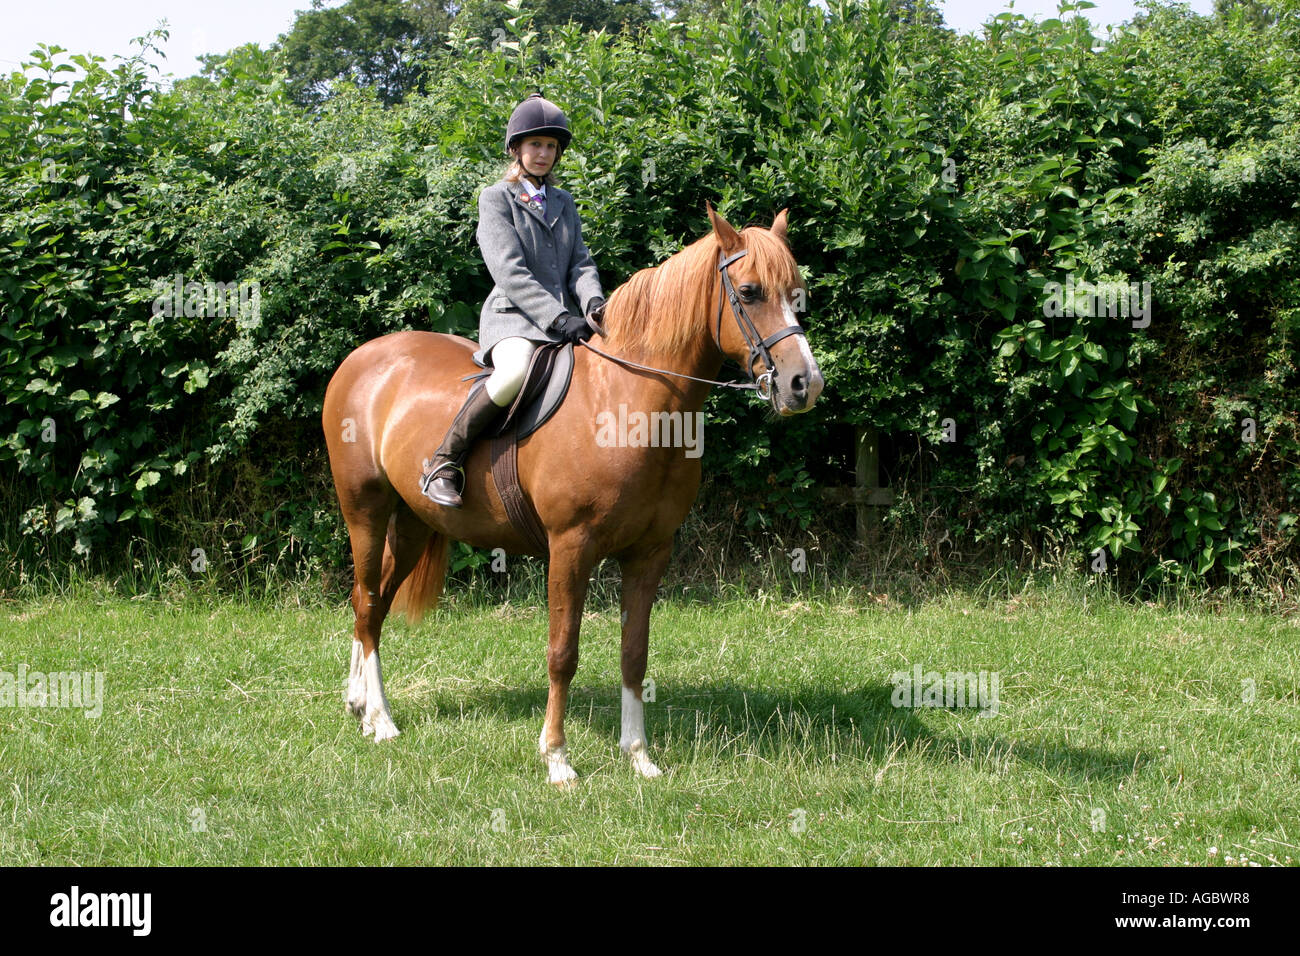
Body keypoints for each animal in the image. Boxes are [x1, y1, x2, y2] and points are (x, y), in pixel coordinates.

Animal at [321, 202, 824, 786]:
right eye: (748, 292)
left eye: (797, 293)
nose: (805, 384)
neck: (628, 402)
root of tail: (363, 357)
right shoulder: (570, 548)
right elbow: (563, 652)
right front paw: (557, 758)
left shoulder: (650, 553)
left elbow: (635, 654)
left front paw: (639, 757)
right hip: (364, 510)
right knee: (366, 599)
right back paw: (380, 718)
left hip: (413, 522)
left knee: (372, 605)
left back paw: (360, 705)